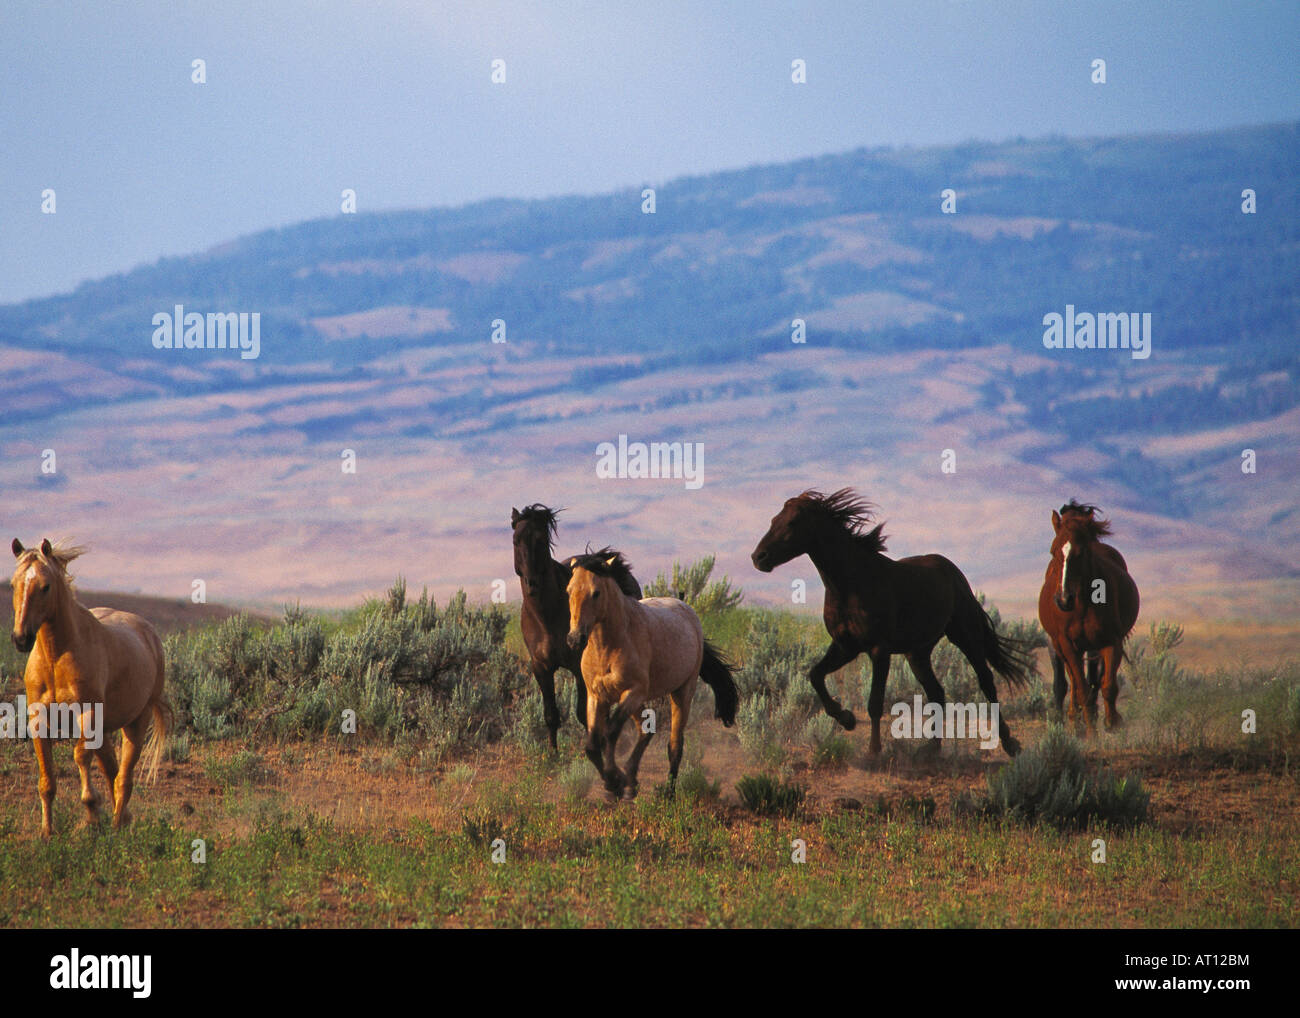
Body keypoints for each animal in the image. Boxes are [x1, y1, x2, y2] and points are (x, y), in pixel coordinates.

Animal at [10, 539, 169, 836]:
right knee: (112, 771)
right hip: (106, 730)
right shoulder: (39, 720)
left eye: (45, 586)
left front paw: (91, 812)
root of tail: (149, 633)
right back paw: (121, 818)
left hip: (136, 723)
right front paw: (47, 831)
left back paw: (117, 825)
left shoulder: (88, 715)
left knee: (124, 778)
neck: (56, 657)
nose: (21, 639)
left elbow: (80, 757)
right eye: (14, 584)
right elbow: (46, 780)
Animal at [511, 505, 643, 749]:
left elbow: (584, 714)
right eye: (516, 541)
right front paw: (552, 753)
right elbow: (551, 715)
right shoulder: (541, 668)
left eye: (542, 540)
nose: (532, 583)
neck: (547, 616)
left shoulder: (579, 666)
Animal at [566, 552, 738, 800]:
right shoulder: (597, 696)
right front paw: (615, 783)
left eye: (595, 592)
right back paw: (631, 781)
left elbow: (611, 732)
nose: (574, 639)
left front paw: (614, 781)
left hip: (682, 692)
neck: (609, 647)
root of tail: (686, 608)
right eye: (569, 590)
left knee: (674, 744)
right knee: (645, 732)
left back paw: (667, 792)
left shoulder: (633, 693)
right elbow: (592, 745)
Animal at [750, 488, 1032, 758]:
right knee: (937, 692)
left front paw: (873, 750)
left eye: (792, 522)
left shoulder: (879, 650)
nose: (758, 557)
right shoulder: (845, 647)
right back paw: (930, 748)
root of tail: (953, 571)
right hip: (917, 653)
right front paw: (846, 719)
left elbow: (875, 702)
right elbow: (815, 675)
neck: (850, 584)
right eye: (774, 520)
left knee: (986, 682)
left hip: (965, 636)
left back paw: (1010, 744)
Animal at [1037, 500, 1139, 735]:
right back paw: (1077, 721)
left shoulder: (1111, 642)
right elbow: (1081, 688)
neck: (1082, 606)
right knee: (1074, 684)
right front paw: (1091, 732)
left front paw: (1112, 723)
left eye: (1081, 552)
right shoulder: (1067, 645)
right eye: (1053, 551)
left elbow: (1107, 685)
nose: (1064, 599)